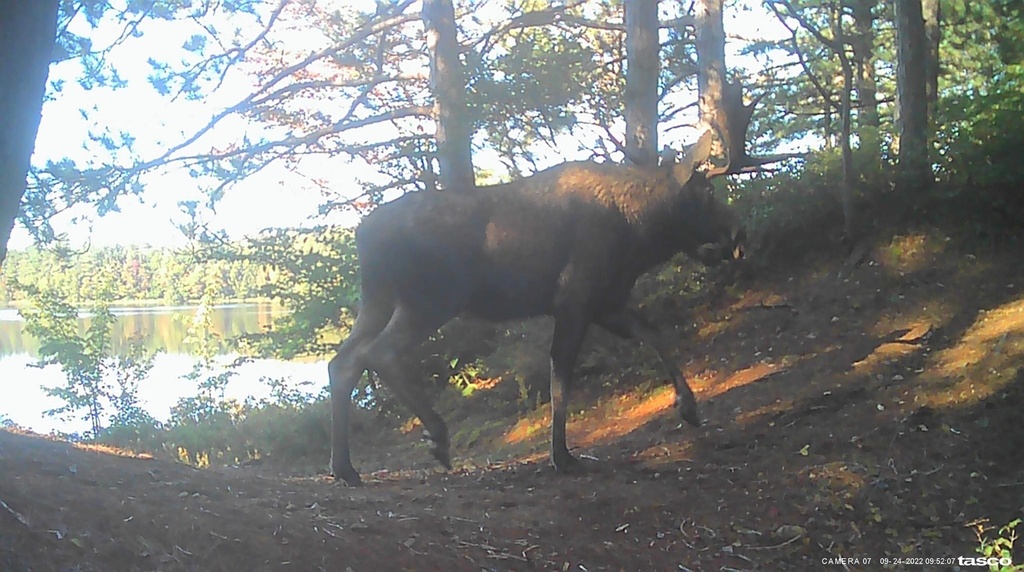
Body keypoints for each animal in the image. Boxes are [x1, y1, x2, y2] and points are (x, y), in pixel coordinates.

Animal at [328, 130, 745, 485]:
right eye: (707, 190)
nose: (737, 234)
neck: (642, 235)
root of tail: (361, 234)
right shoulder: (573, 297)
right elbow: (561, 372)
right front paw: (561, 455)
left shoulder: (606, 301)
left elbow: (653, 331)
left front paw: (688, 406)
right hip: (430, 299)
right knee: (378, 353)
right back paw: (437, 437)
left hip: (378, 299)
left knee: (343, 362)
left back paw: (346, 468)